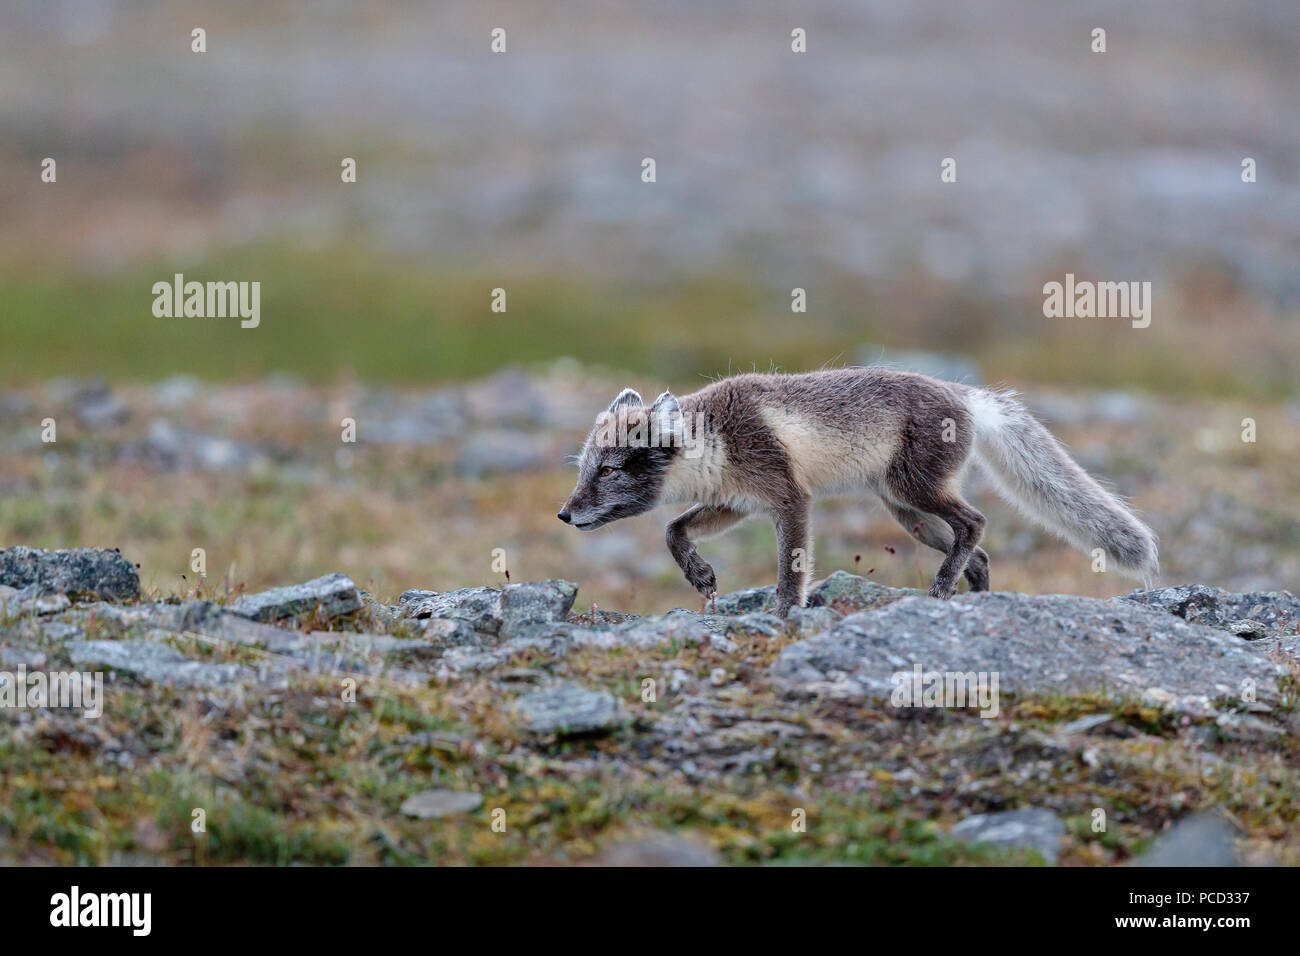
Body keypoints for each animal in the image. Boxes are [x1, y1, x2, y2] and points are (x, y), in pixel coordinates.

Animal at [558, 367, 1158, 617]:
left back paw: (940, 591)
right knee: (980, 551)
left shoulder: (789, 499)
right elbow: (671, 527)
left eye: (609, 471)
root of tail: (965, 393)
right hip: (907, 512)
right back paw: (976, 600)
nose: (564, 514)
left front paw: (784, 616)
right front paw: (700, 576)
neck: (718, 438)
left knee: (976, 523)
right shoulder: (735, 503)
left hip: (914, 489)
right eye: (585, 468)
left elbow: (791, 573)